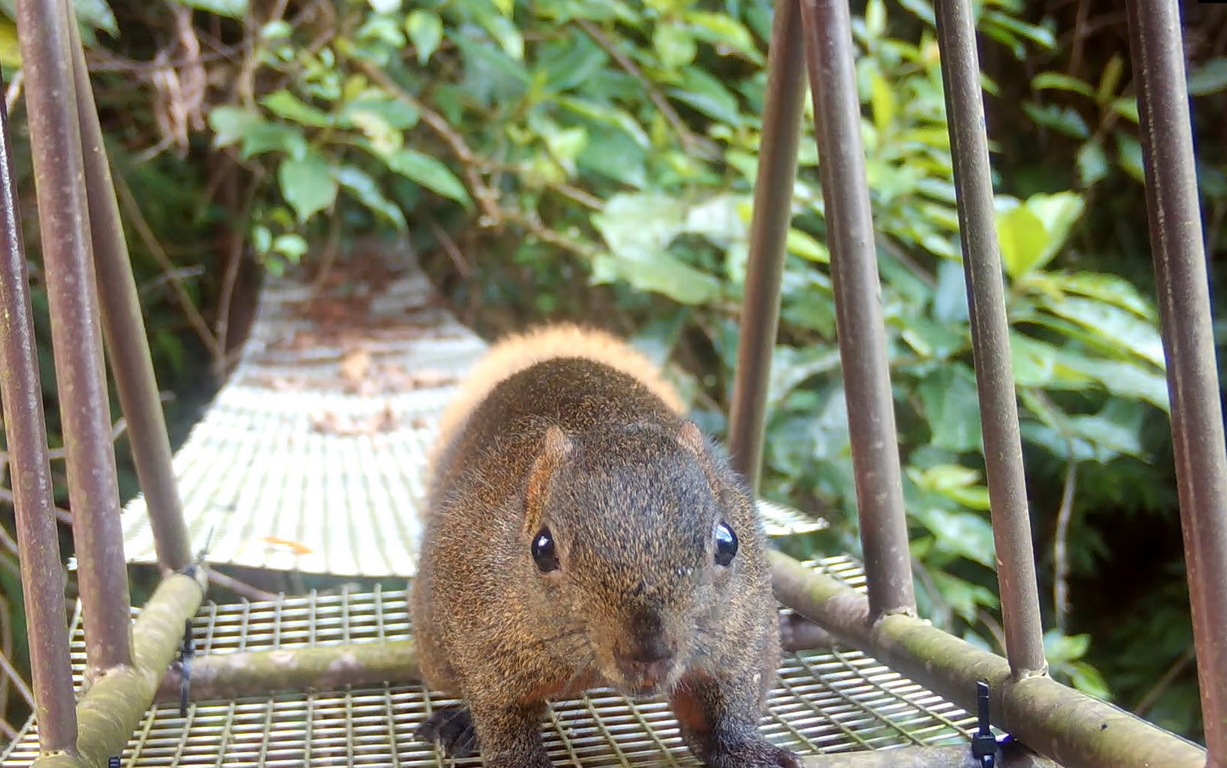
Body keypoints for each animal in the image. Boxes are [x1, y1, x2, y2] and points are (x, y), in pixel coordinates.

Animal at [410, 324, 800, 768]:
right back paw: (459, 722)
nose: (648, 656)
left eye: (728, 542)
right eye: (542, 548)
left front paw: (741, 747)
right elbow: (501, 713)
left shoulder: (743, 626)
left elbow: (731, 693)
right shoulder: (480, 634)